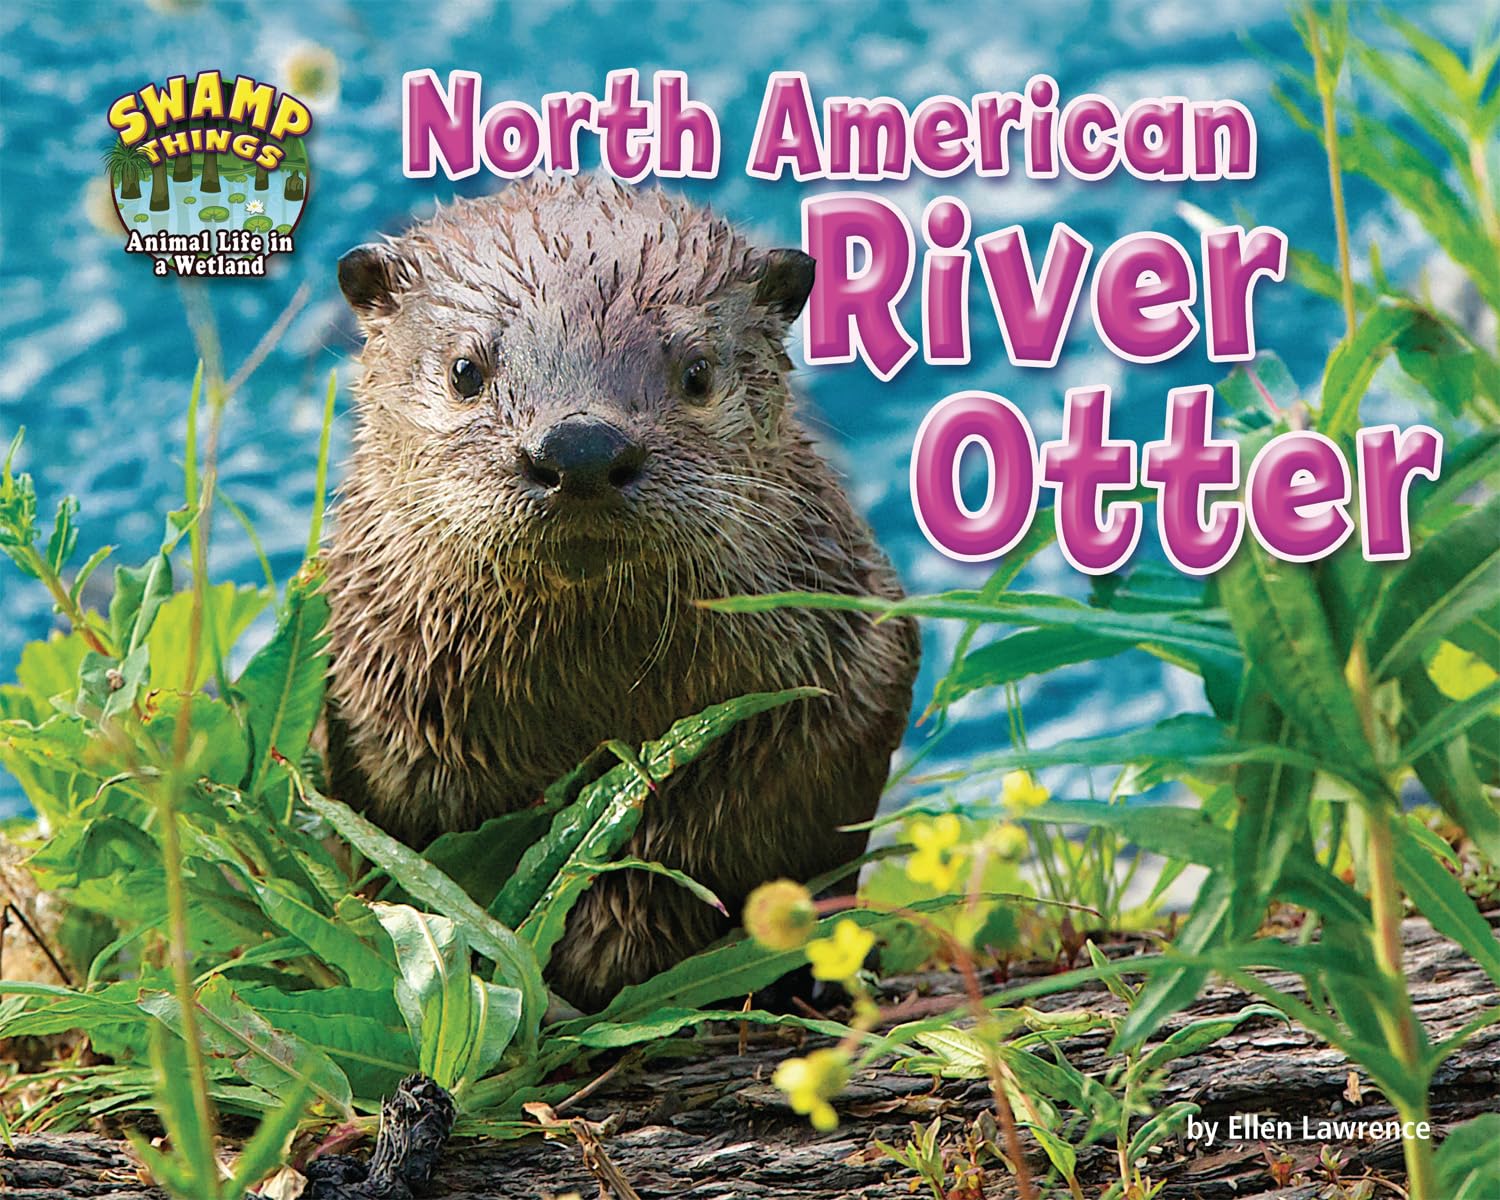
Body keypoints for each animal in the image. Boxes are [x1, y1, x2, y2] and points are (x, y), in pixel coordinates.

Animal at [326, 176, 918, 1011]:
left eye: (697, 372)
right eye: (466, 370)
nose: (580, 447)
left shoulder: (843, 684)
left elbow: (724, 826)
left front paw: (614, 929)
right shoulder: (383, 722)